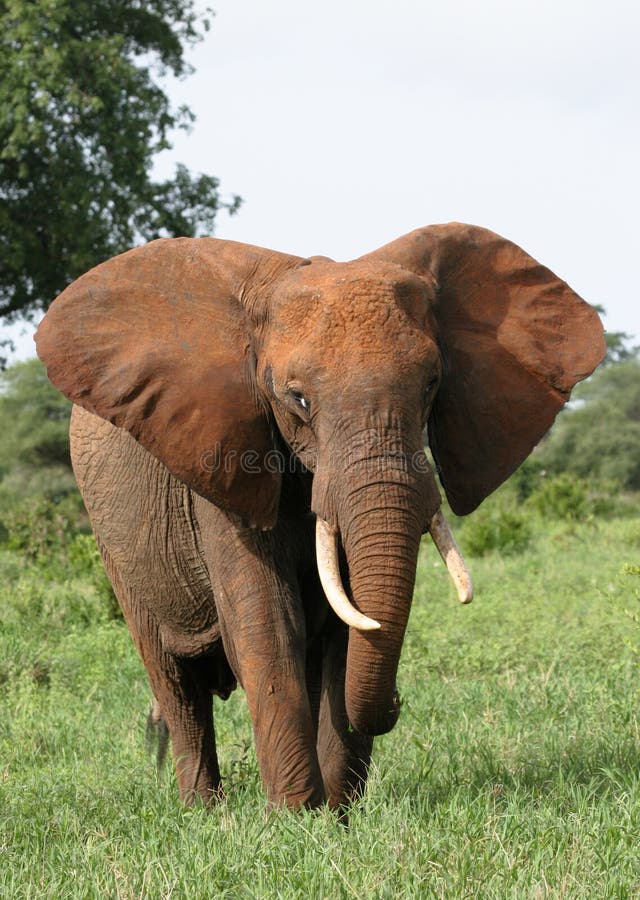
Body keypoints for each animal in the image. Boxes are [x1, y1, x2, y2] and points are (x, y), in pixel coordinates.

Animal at [35, 222, 605, 810]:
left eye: (431, 384)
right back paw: (203, 811)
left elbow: (343, 626)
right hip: (114, 542)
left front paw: (336, 816)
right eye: (298, 399)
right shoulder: (219, 460)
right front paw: (293, 817)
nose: (398, 702)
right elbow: (268, 623)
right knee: (175, 681)